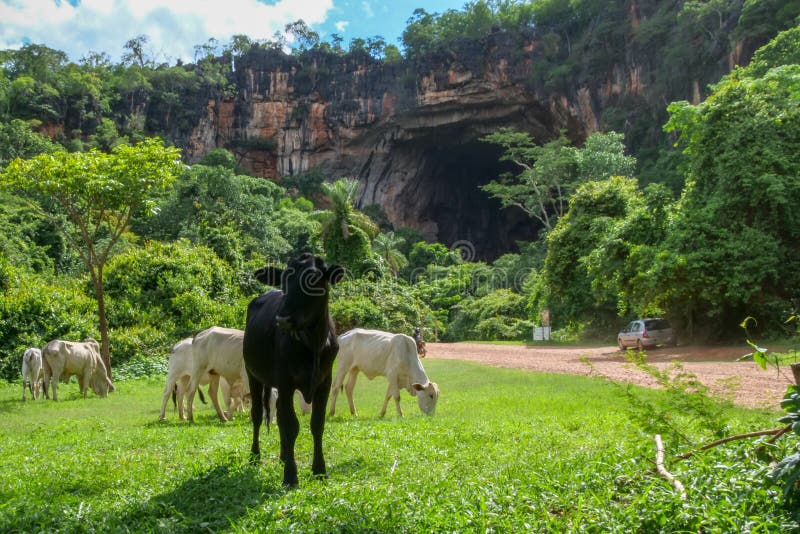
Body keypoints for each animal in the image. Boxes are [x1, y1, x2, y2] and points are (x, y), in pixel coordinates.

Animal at [243, 252, 343, 487]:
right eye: (283, 282)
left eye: (313, 280)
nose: (282, 319)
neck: (313, 342)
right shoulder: (285, 381)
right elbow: (290, 425)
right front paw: (290, 475)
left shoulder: (325, 381)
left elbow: (317, 423)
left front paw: (319, 470)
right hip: (253, 374)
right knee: (258, 414)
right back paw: (255, 455)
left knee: (278, 413)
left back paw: (282, 455)